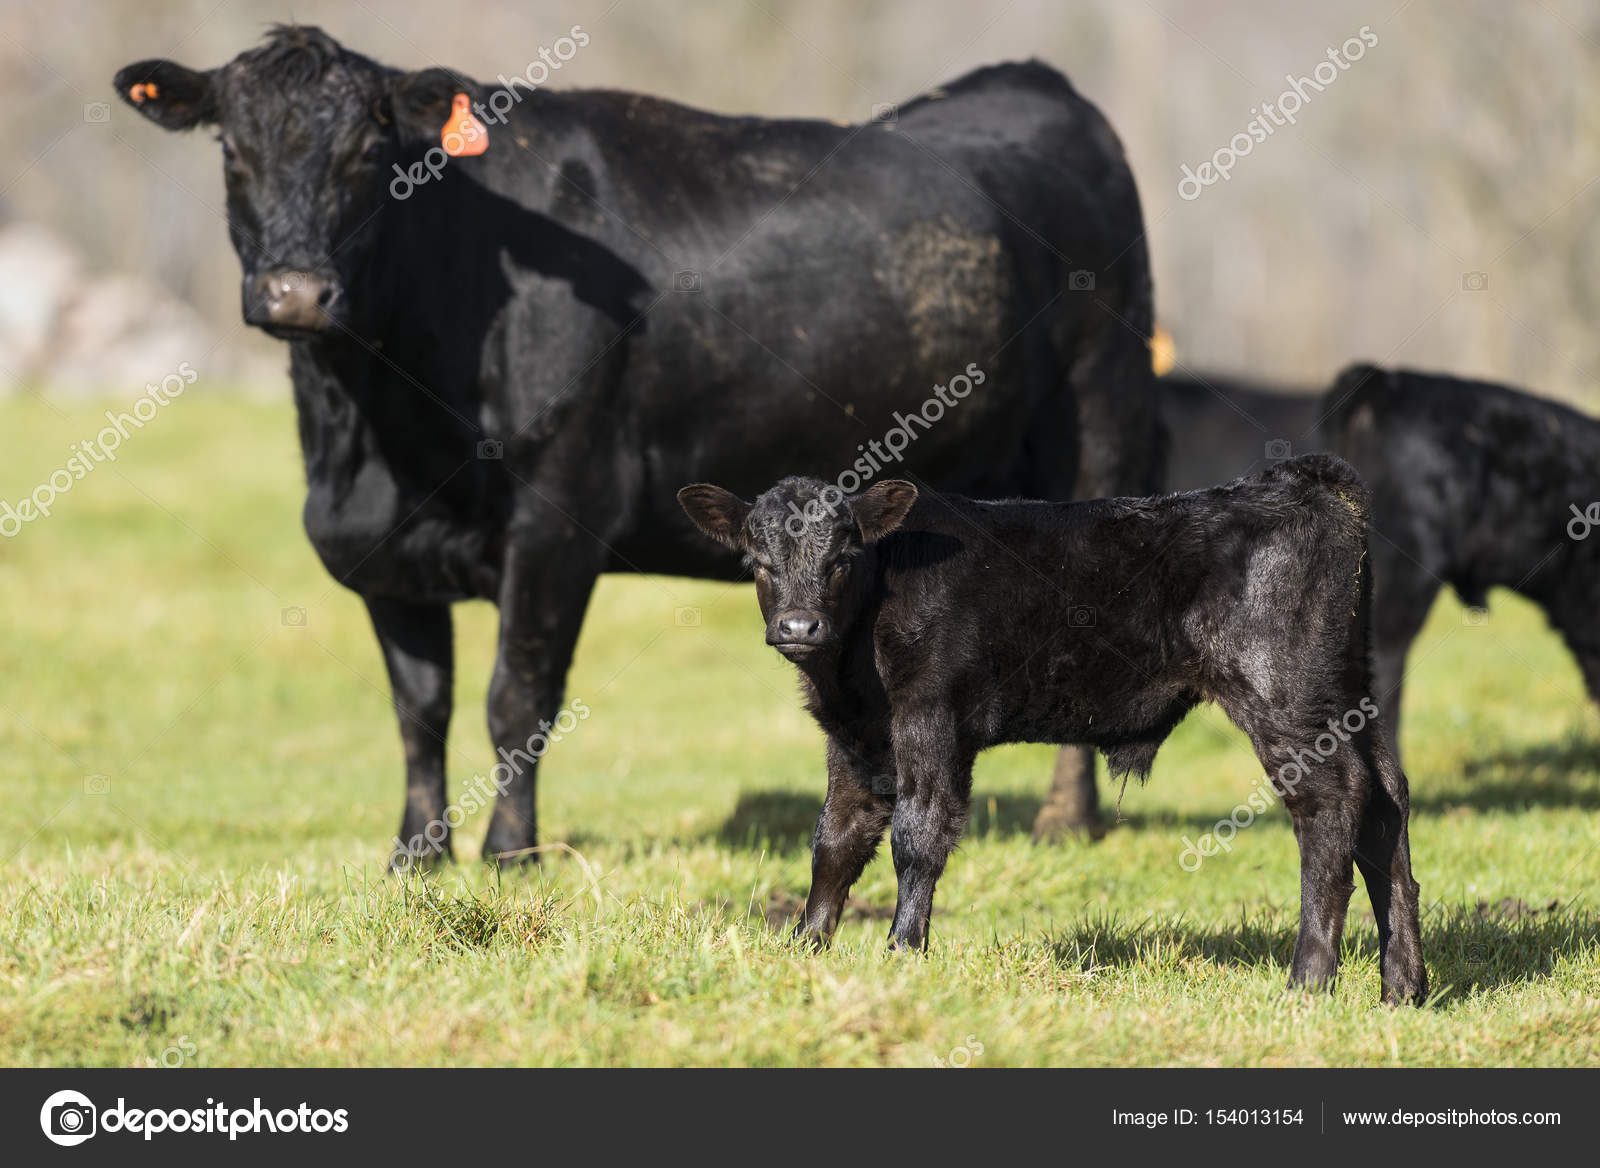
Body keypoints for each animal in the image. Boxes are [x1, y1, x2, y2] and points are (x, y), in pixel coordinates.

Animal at [113, 26, 1163, 865]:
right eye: (231, 150)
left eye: (370, 151)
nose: (294, 293)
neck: (371, 439)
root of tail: (1032, 82)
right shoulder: (383, 552)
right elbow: (421, 710)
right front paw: (416, 856)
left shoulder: (556, 521)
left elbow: (516, 696)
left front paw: (511, 852)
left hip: (1103, 426)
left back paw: (1069, 821)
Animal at [677, 456, 1428, 1004]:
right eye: (756, 562)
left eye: (842, 559)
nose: (799, 627)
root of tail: (1298, 479)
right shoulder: (857, 737)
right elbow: (836, 837)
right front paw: (805, 948)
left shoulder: (931, 716)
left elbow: (919, 835)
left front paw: (902, 951)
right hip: (1348, 691)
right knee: (1386, 802)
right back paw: (1402, 987)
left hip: (1284, 694)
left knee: (1332, 801)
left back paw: (1308, 982)